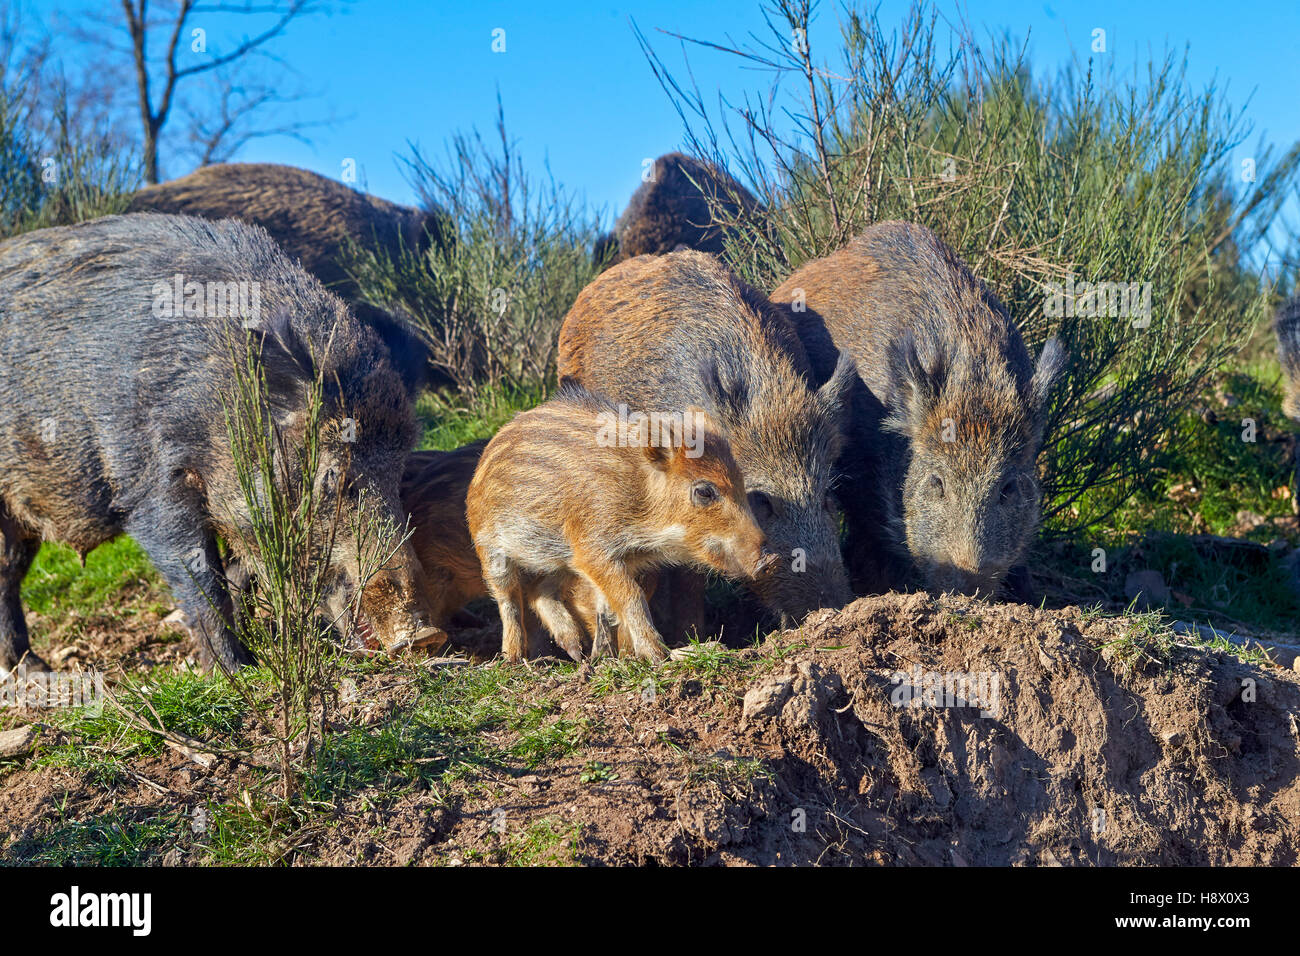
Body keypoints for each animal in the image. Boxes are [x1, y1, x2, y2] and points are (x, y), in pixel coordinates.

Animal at [0, 213, 442, 674]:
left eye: (398, 475)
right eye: (334, 480)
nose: (427, 635)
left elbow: (240, 571)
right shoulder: (152, 481)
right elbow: (200, 578)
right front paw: (238, 671)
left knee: (5, 572)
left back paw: (29, 666)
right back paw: (36, 669)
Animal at [466, 385, 774, 662]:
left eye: (741, 483)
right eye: (704, 491)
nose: (769, 560)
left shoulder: (612, 558)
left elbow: (608, 608)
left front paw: (611, 659)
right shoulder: (592, 547)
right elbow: (631, 596)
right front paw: (658, 657)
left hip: (558, 559)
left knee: (538, 590)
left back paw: (576, 652)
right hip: (489, 547)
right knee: (508, 597)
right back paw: (514, 659)